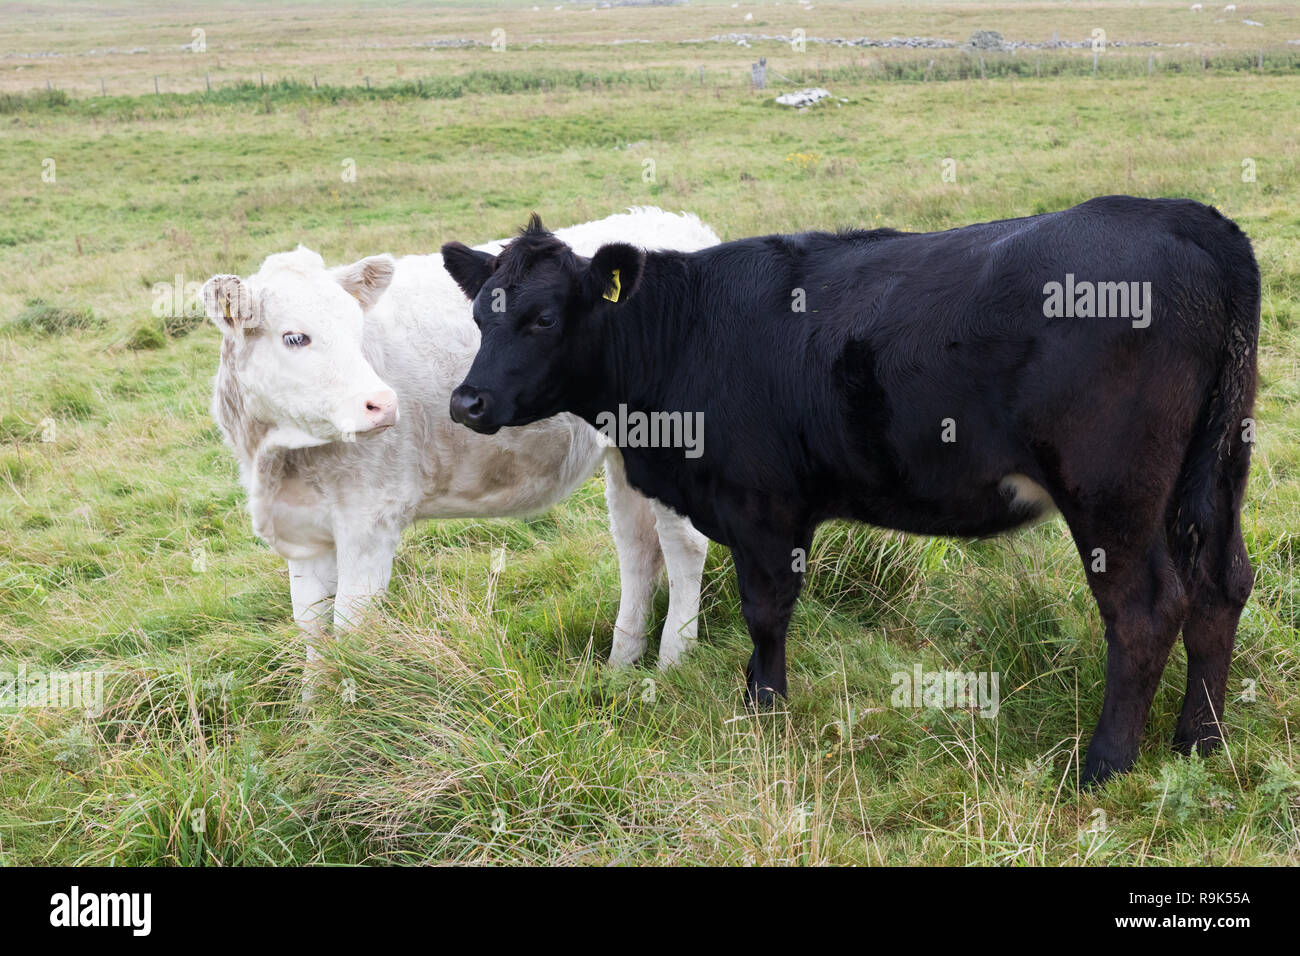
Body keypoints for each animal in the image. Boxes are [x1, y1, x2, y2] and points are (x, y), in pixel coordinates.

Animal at [202, 208, 716, 696]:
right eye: (295, 337)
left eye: (355, 329)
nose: (383, 403)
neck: (279, 458)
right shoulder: (304, 530)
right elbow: (312, 628)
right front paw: (314, 709)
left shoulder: (371, 519)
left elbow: (351, 625)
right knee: (636, 547)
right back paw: (620, 664)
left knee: (683, 546)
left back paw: (673, 661)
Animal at [442, 196, 1260, 786]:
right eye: (481, 312)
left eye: (543, 317)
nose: (467, 402)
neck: (688, 333)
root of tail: (1188, 218)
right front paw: (753, 696)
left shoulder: (763, 506)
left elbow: (766, 612)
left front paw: (763, 709)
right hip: (1215, 476)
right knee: (1220, 588)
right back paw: (1200, 742)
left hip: (1113, 494)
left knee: (1146, 612)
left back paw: (1104, 768)